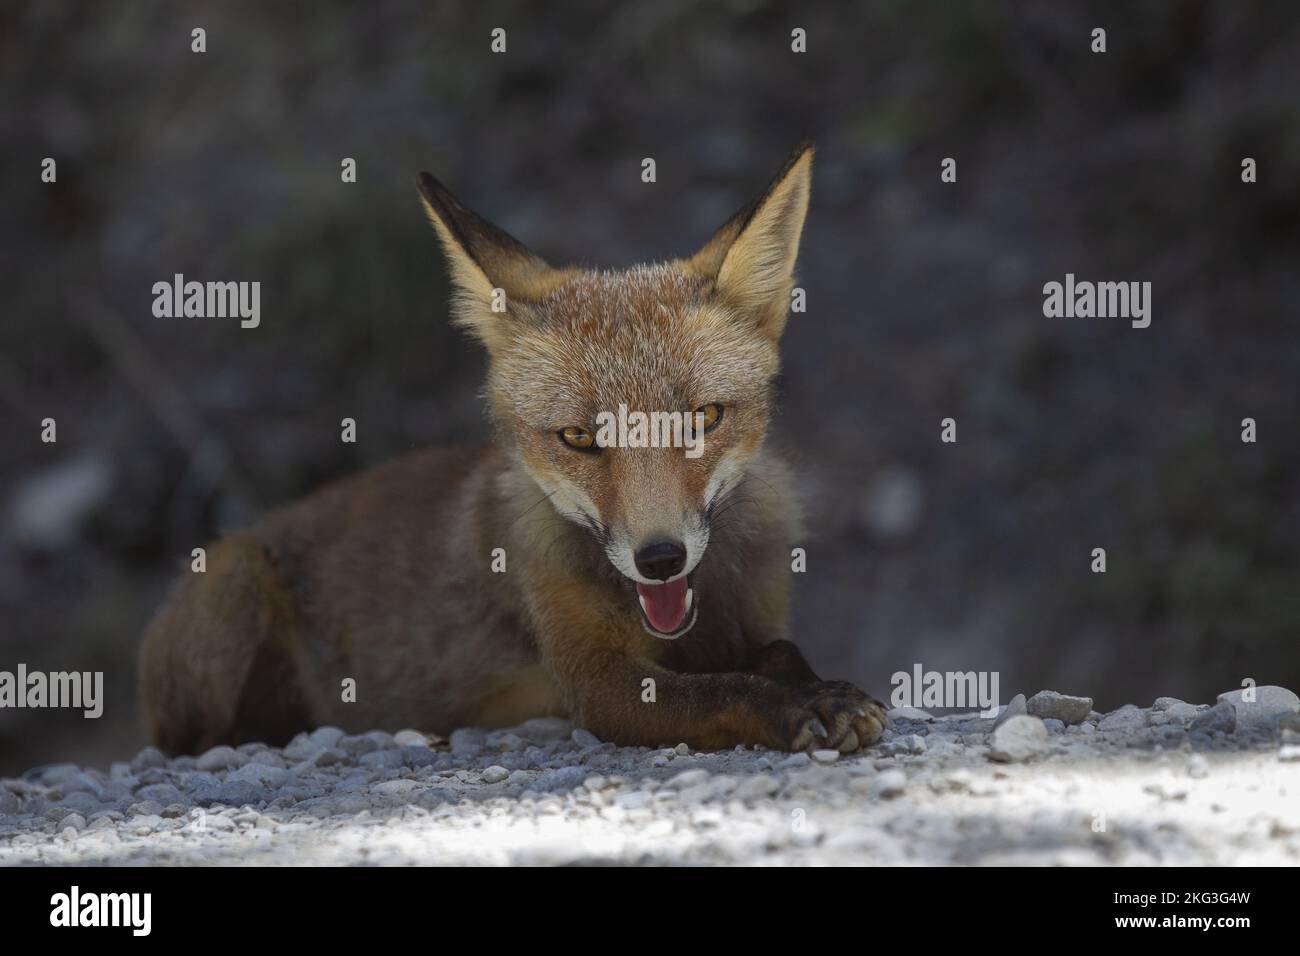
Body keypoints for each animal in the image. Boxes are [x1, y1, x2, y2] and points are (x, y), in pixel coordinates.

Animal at [138, 143, 888, 756]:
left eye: (703, 418)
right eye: (579, 437)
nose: (661, 558)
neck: (692, 628)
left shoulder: (755, 620)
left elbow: (780, 650)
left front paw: (823, 689)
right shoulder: (596, 681)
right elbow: (723, 691)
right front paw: (793, 707)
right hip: (232, 579)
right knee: (194, 740)